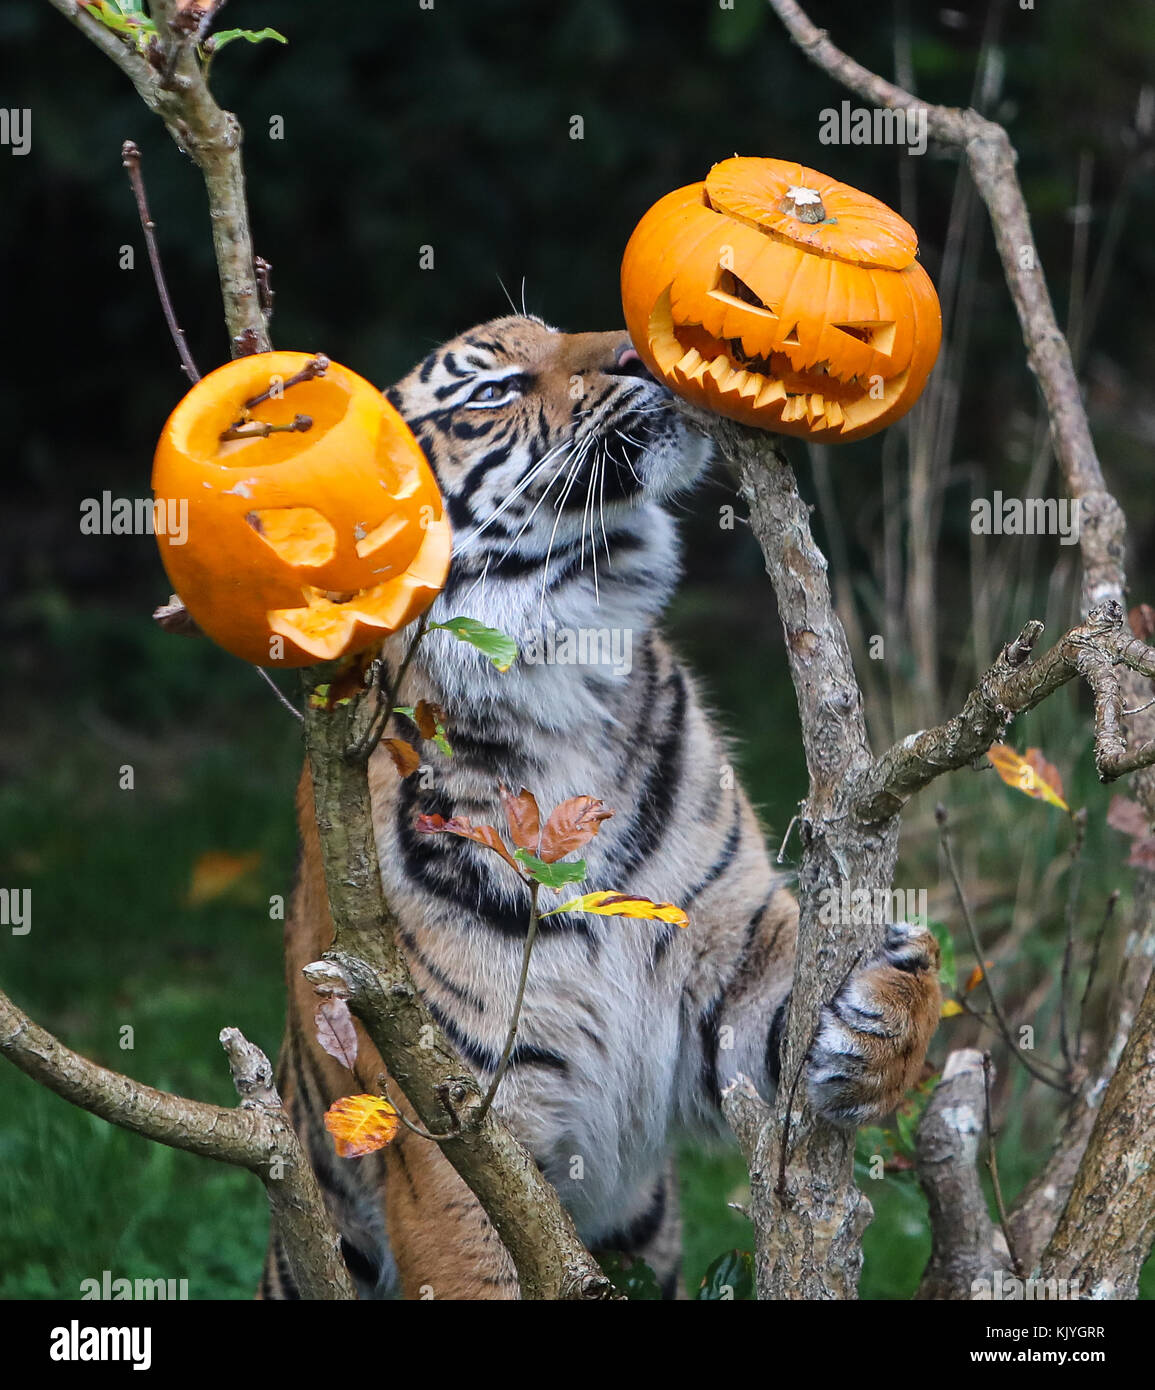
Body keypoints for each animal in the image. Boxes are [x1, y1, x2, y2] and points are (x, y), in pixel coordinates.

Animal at [262, 315, 941, 1301]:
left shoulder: (724, 966)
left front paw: (885, 1018)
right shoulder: (459, 1134)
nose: (632, 350)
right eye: (492, 392)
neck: (559, 674)